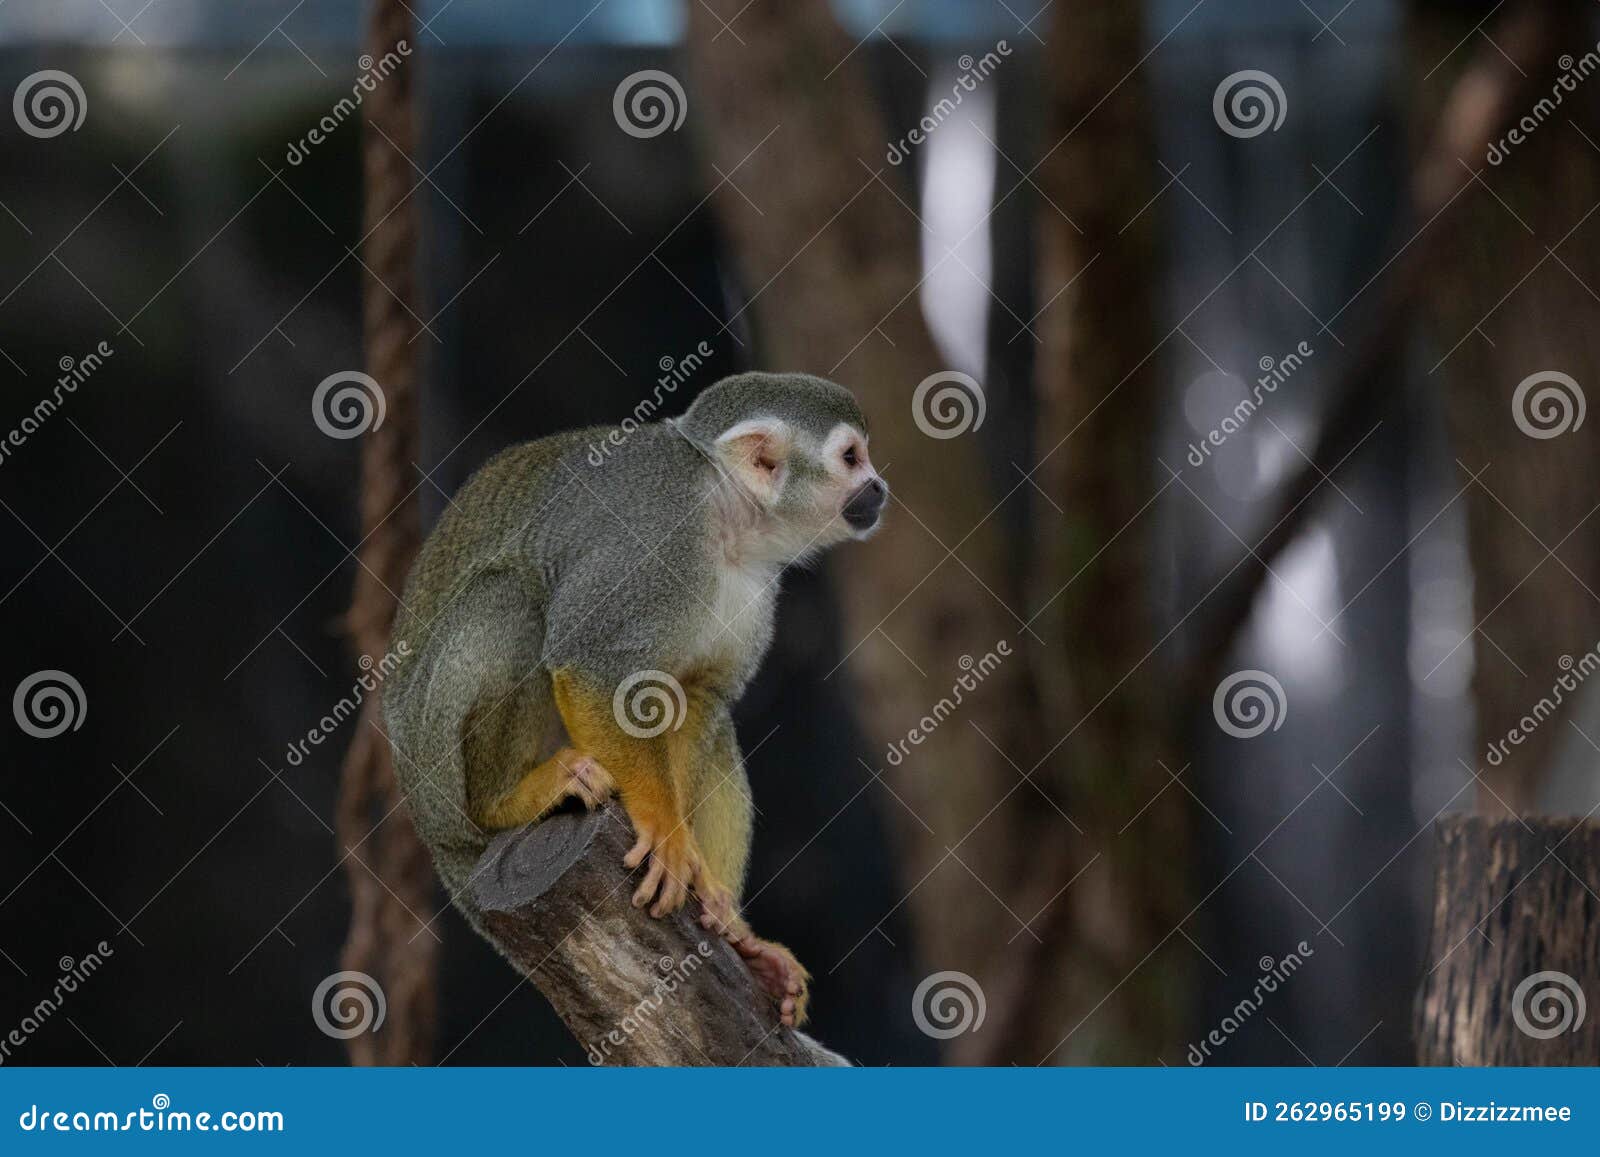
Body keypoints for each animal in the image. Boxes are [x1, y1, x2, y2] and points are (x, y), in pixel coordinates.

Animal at [382, 371, 888, 1028]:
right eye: (852, 457)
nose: (880, 487)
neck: (724, 519)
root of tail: (437, 846)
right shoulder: (653, 543)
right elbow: (588, 661)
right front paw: (666, 832)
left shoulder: (753, 584)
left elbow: (693, 700)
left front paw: (698, 871)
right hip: (436, 774)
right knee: (512, 599)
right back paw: (508, 800)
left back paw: (744, 945)